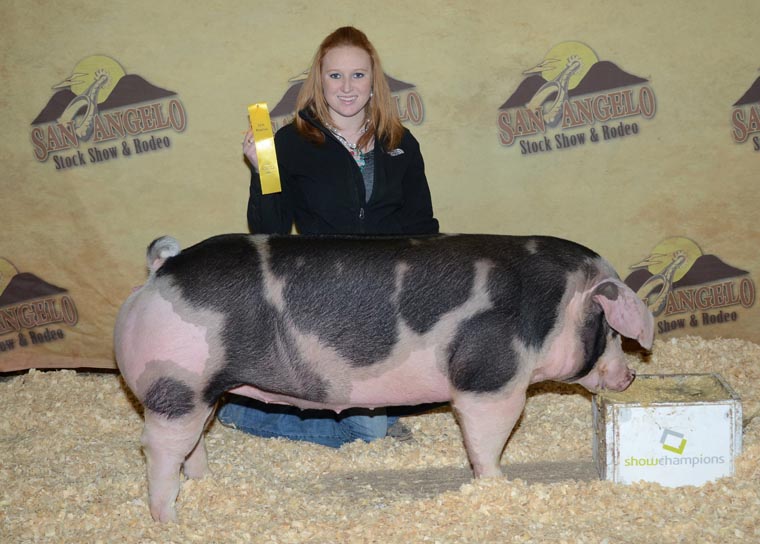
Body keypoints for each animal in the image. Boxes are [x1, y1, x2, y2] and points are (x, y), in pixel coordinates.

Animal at [114, 233, 654, 522]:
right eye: (611, 330)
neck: (556, 307)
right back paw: (170, 519)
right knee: (159, 448)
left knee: (192, 444)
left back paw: (205, 484)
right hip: (176, 383)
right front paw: (500, 486)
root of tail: (160, 271)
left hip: (203, 391)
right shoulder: (489, 377)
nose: (629, 377)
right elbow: (487, 437)